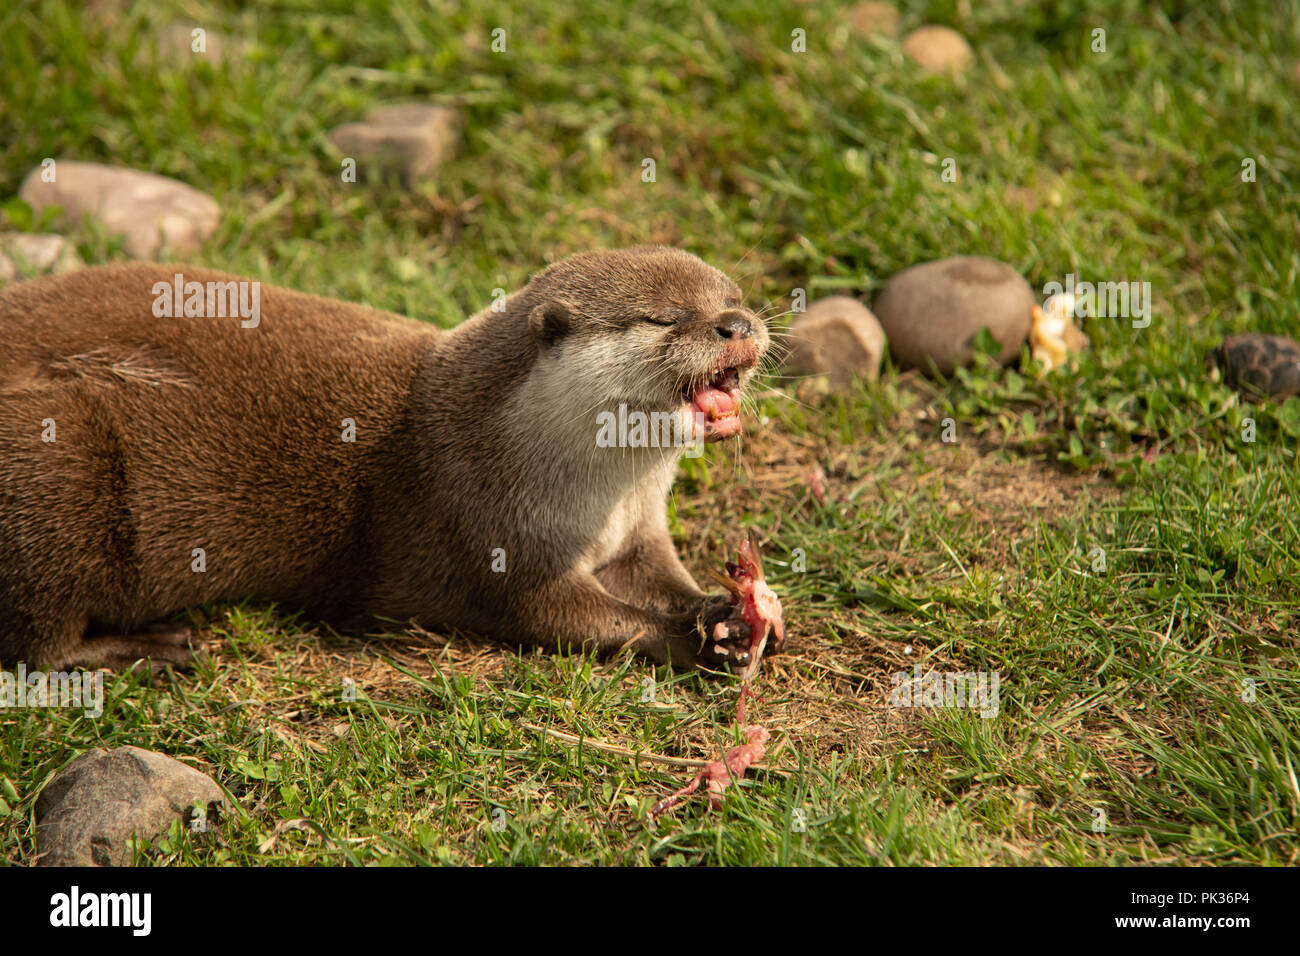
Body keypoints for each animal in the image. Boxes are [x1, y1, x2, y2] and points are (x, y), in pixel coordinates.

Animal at [0, 247, 771, 673]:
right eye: (664, 318)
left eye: (733, 298)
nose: (737, 325)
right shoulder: (489, 537)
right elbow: (571, 617)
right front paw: (694, 637)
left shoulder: (638, 529)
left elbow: (658, 575)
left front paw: (730, 610)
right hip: (55, 467)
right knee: (35, 643)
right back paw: (141, 650)